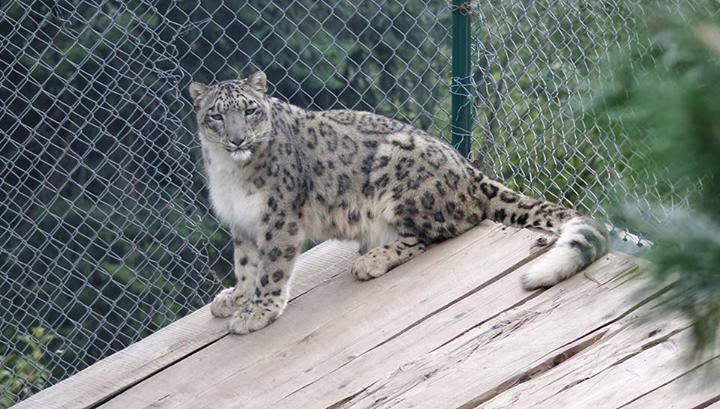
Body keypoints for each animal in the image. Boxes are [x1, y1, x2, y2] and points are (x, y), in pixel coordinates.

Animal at [188, 71, 609, 334]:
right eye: (216, 115)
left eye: (250, 110)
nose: (237, 139)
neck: (229, 171)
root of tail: (466, 167)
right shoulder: (242, 223)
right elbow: (245, 265)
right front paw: (235, 298)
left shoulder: (279, 217)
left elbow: (272, 269)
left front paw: (258, 313)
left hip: (398, 173)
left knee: (445, 229)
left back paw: (372, 259)